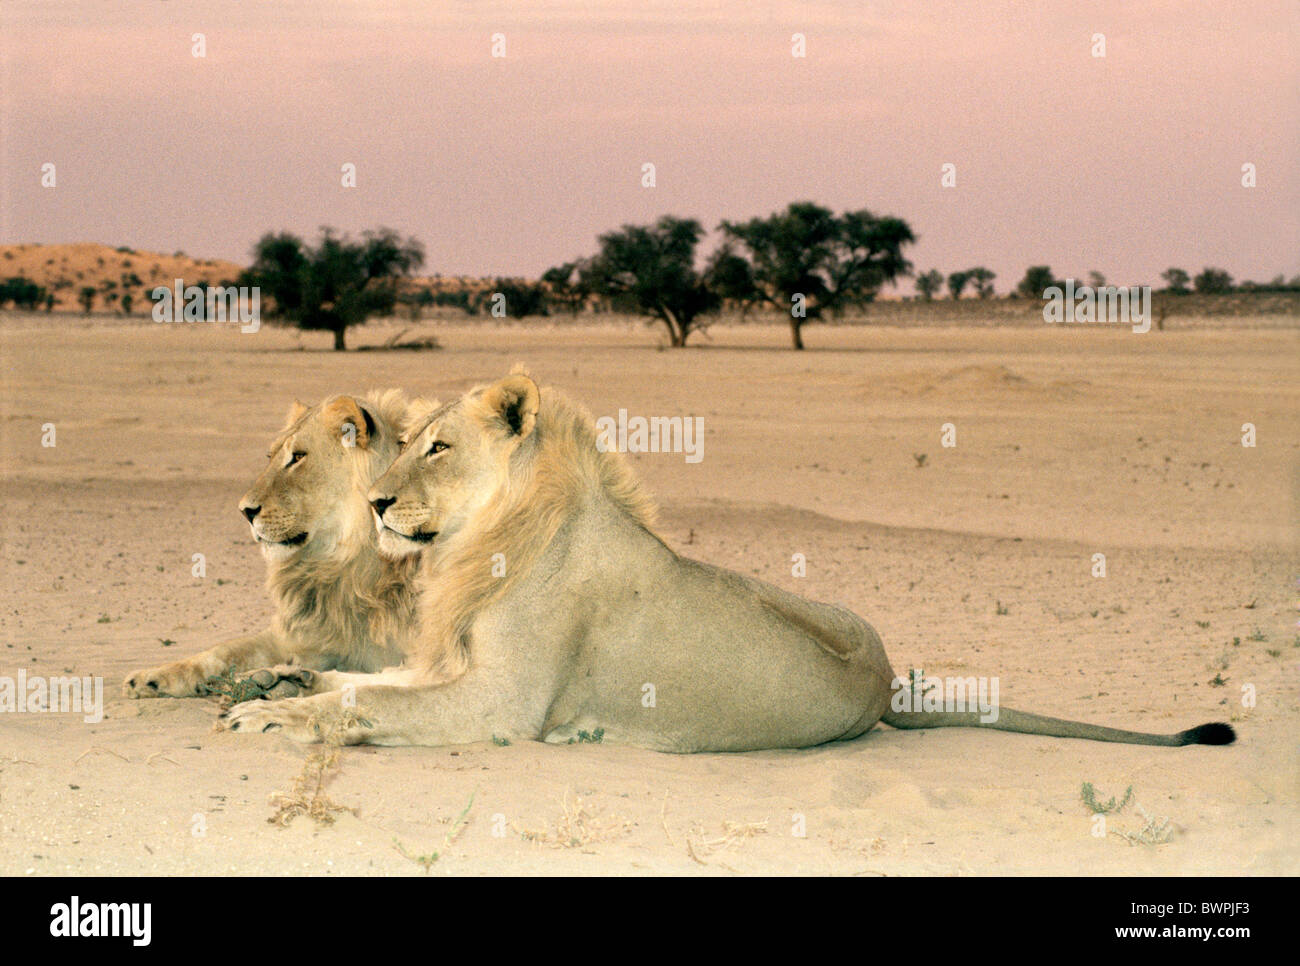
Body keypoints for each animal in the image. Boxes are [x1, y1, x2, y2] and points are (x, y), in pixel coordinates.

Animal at [124, 389, 435, 699]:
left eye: (298, 457)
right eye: (270, 456)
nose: (245, 511)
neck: (352, 566)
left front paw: (275, 680)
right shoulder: (302, 636)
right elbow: (224, 650)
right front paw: (151, 678)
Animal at [221, 369, 1235, 752]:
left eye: (436, 448)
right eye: (402, 444)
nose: (377, 504)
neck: (485, 544)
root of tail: (886, 681)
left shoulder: (500, 705)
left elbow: (372, 703)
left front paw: (277, 715)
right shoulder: (445, 665)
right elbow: (361, 679)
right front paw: (273, 683)